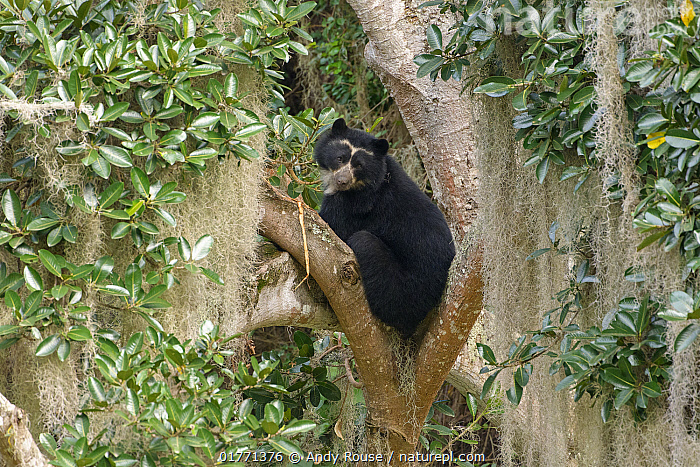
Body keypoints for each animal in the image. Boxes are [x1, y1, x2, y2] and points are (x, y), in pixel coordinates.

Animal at [314, 118, 455, 338]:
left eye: (359, 165)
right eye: (339, 158)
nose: (342, 181)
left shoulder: (357, 206)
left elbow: (333, 226)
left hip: (402, 290)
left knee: (365, 243)